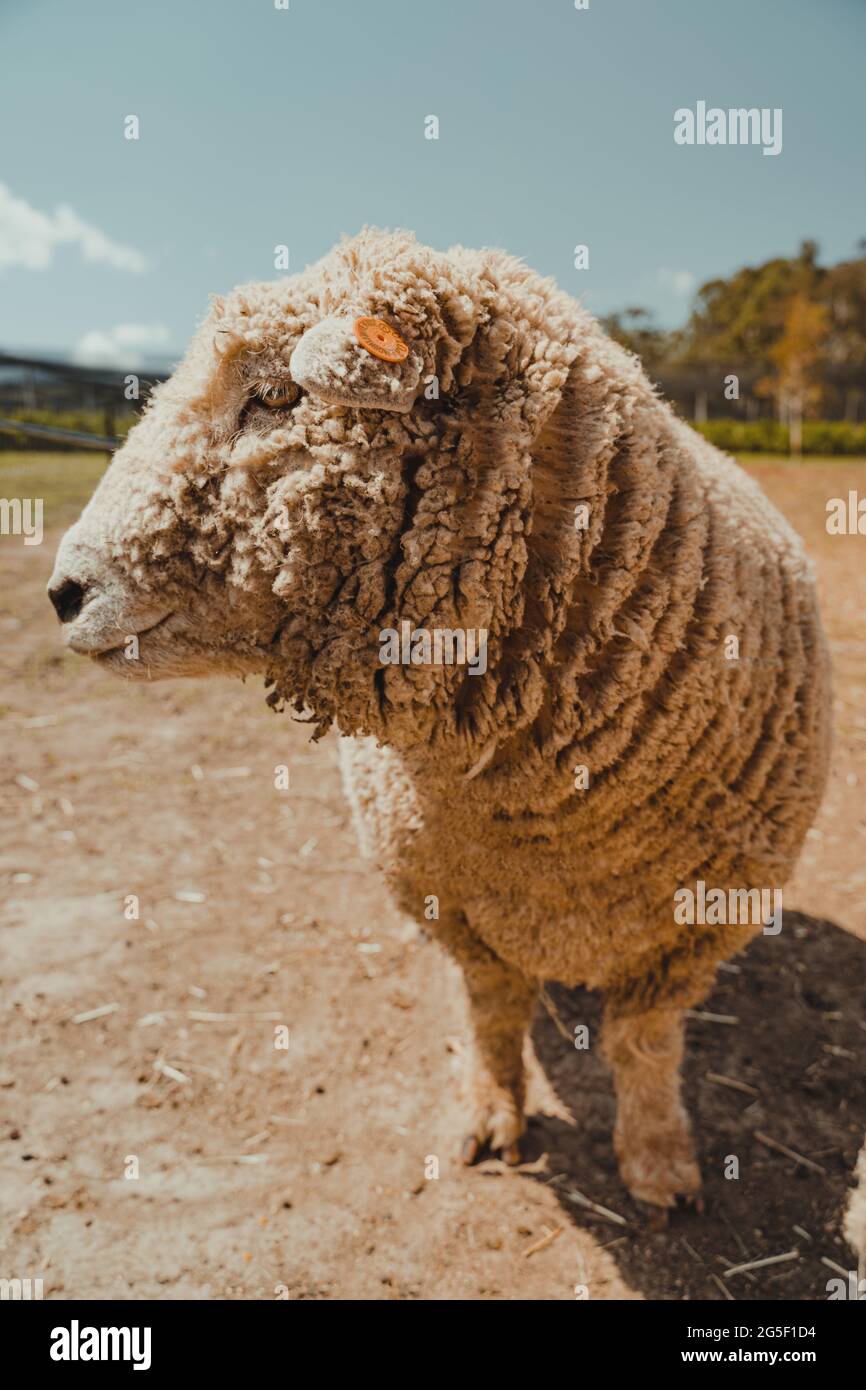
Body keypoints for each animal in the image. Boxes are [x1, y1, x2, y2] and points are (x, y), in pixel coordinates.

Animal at [49, 228, 832, 1210]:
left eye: (274, 396)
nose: (62, 591)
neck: (544, 816)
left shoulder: (692, 936)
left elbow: (642, 1044)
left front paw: (658, 1161)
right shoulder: (453, 910)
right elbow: (493, 1014)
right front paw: (489, 1118)